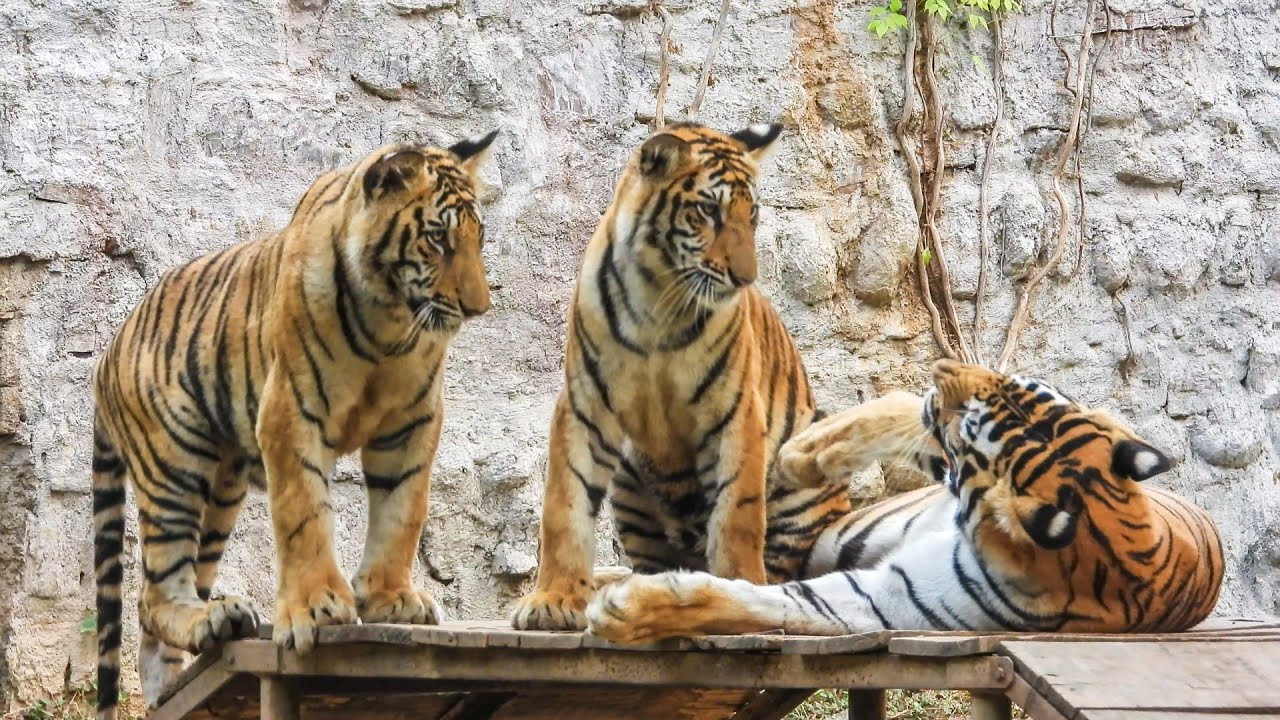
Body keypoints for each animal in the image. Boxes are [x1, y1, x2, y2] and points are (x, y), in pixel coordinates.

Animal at [90, 132, 498, 719]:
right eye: (437, 238)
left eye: (477, 238)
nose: (478, 308)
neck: (391, 321)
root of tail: (107, 352)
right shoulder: (291, 410)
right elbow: (304, 513)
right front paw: (317, 608)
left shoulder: (414, 420)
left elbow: (403, 511)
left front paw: (391, 598)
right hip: (174, 465)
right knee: (153, 592)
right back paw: (210, 619)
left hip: (221, 494)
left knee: (156, 622)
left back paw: (191, 658)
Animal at [510, 122, 852, 631]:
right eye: (708, 211)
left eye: (752, 214)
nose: (745, 279)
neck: (660, 297)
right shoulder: (585, 403)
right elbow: (563, 505)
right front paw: (553, 599)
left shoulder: (735, 409)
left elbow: (738, 514)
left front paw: (739, 591)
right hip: (631, 483)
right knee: (651, 561)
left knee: (783, 565)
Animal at [586, 359, 1226, 641]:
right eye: (1018, 385)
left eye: (974, 424)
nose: (947, 368)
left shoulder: (884, 602)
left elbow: (761, 602)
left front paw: (627, 610)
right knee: (900, 410)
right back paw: (802, 451)